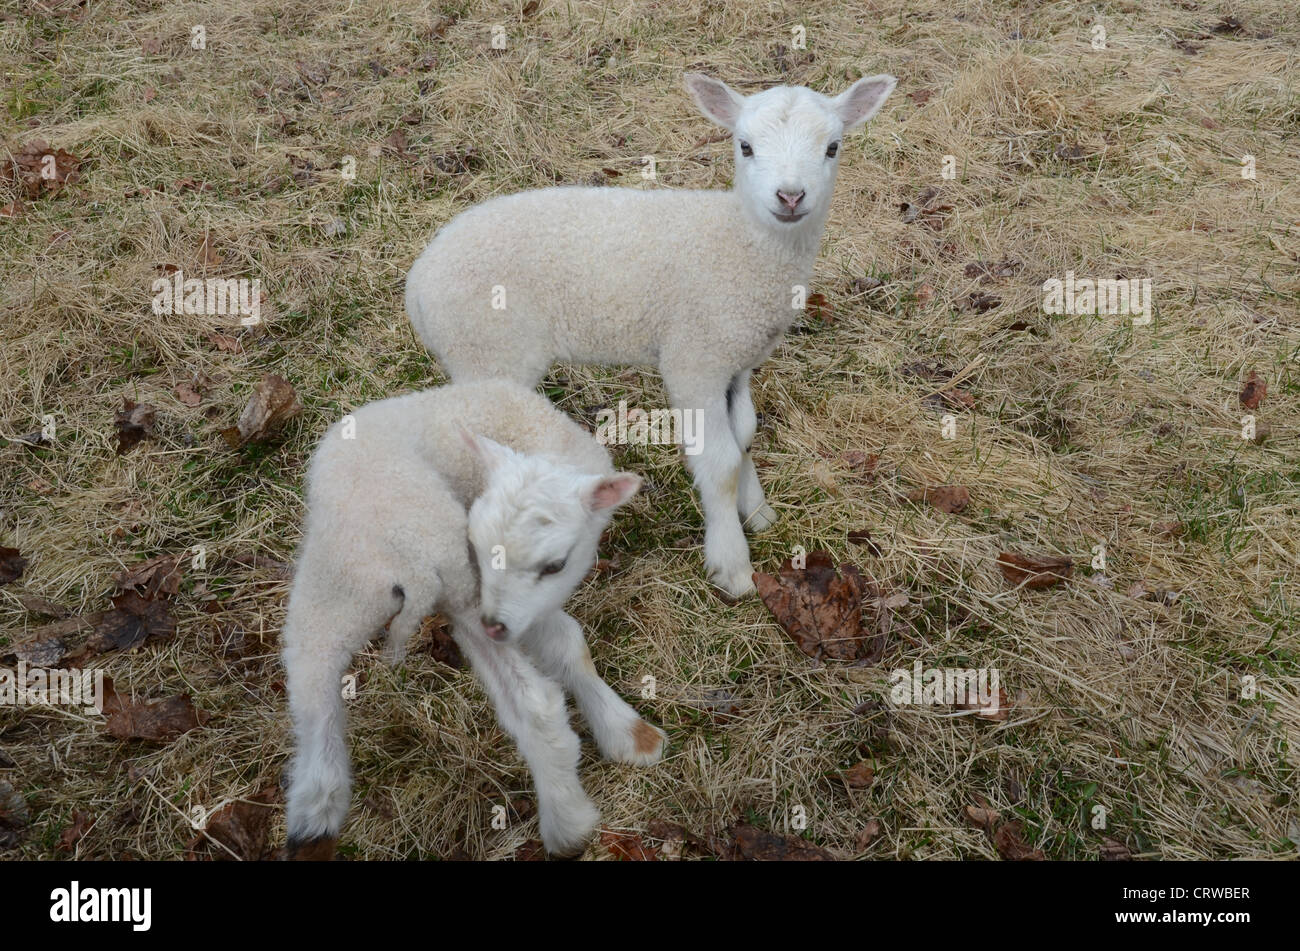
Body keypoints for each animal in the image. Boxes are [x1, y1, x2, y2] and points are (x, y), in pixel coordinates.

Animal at [281, 378, 660, 859]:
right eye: (478, 546)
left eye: (555, 564)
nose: (496, 625)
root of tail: (417, 561)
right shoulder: (499, 599)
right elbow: (563, 646)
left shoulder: (520, 603)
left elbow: (566, 644)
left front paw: (624, 732)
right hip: (410, 582)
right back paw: (569, 820)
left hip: (354, 581)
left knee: (314, 671)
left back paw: (315, 813)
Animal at [404, 71, 897, 600]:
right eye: (744, 146)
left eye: (832, 147)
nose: (790, 197)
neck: (743, 244)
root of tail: (418, 284)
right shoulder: (694, 357)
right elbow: (719, 462)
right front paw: (733, 564)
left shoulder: (737, 357)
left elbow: (744, 434)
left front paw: (759, 511)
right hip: (486, 350)